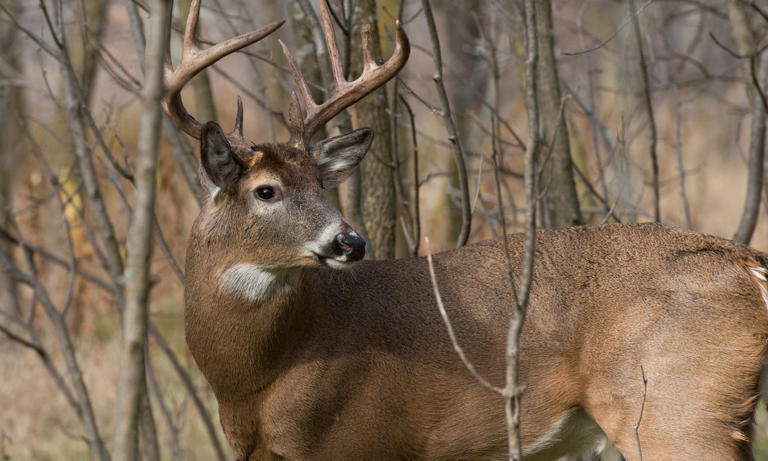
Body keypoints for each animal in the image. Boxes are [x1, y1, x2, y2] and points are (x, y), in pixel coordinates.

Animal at [162, 1, 768, 459]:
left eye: (322, 183)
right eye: (266, 190)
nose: (350, 241)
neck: (256, 383)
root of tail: (746, 263)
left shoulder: (361, 439)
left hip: (675, 409)